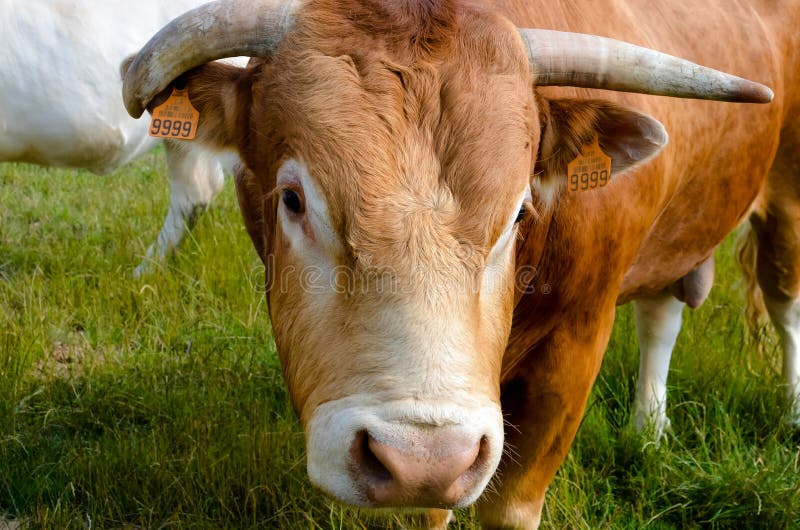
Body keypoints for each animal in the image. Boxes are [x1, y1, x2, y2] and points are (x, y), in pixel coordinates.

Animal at [121, 0, 794, 528]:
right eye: (292, 198)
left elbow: (510, 505)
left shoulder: (576, 341)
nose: (422, 455)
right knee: (661, 315)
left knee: (784, 307)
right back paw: (648, 427)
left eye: (520, 211)